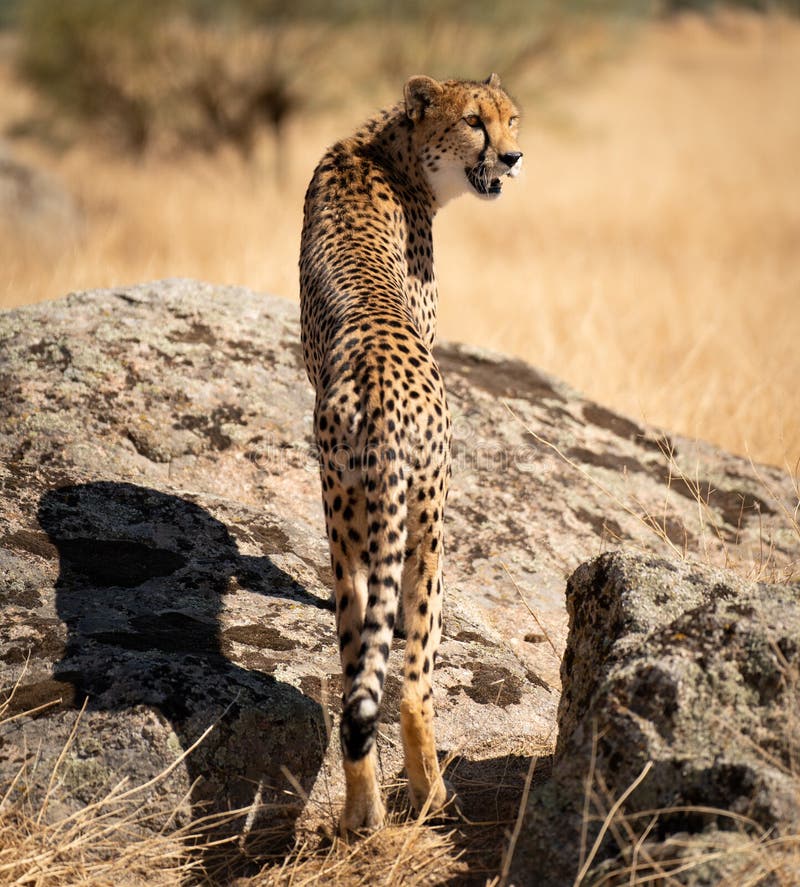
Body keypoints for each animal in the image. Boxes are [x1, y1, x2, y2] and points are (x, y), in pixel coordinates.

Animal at [299, 72, 522, 835]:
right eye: (475, 122)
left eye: (513, 119)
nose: (514, 157)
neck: (386, 145)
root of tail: (385, 398)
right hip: (429, 523)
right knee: (411, 684)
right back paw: (432, 797)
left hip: (342, 512)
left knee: (353, 689)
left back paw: (361, 816)